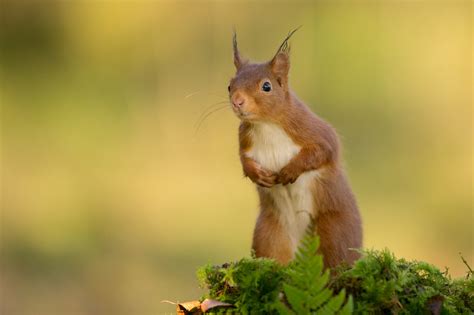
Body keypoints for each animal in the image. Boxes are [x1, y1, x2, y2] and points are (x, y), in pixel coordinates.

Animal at [228, 30, 362, 270]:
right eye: (229, 85)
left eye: (266, 86)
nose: (237, 101)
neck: (266, 125)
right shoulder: (245, 140)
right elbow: (244, 160)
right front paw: (257, 174)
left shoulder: (311, 129)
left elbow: (323, 151)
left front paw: (290, 170)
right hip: (268, 235)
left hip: (334, 231)